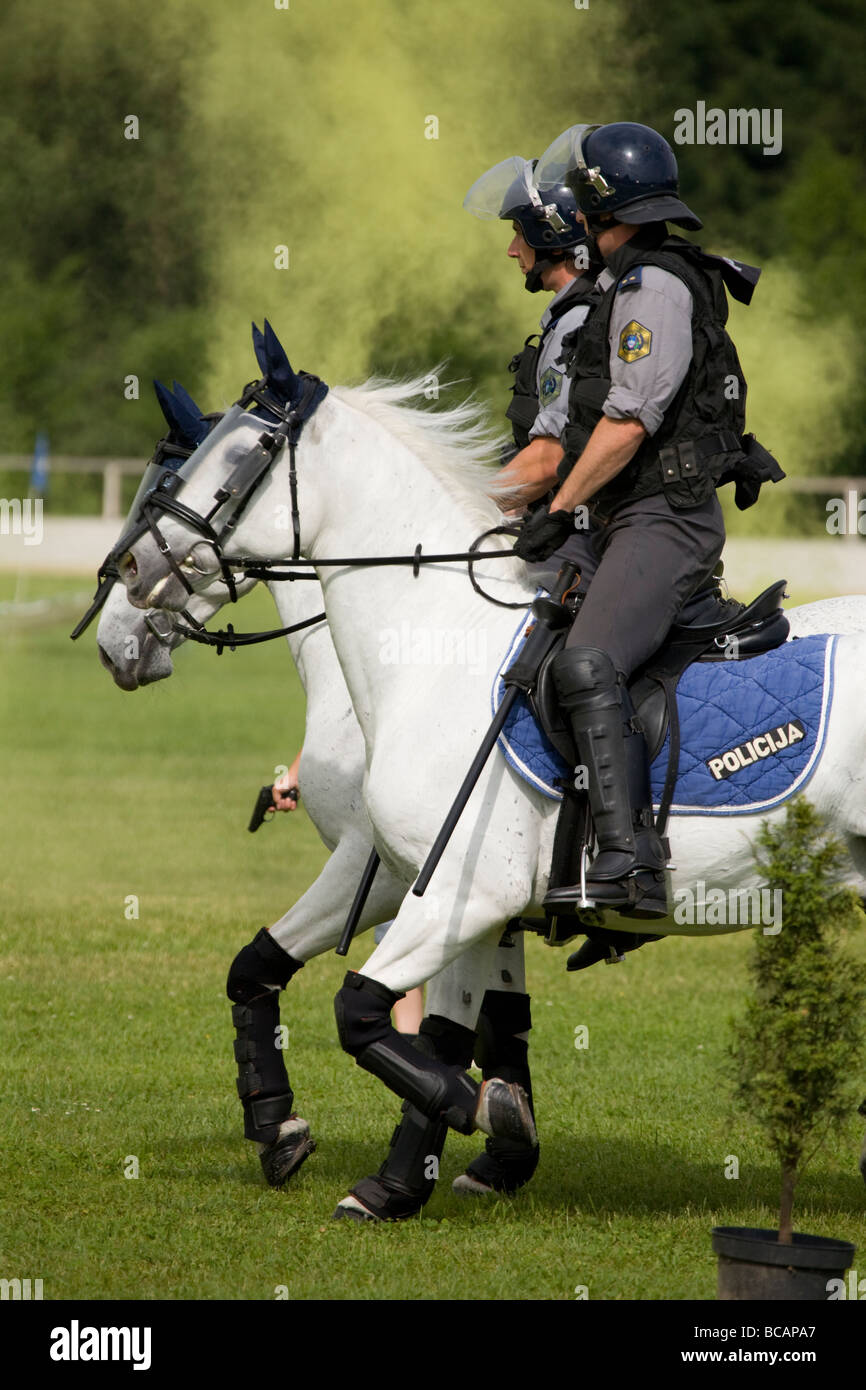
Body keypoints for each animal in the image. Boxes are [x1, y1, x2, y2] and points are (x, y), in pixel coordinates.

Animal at [113, 323, 866, 1192]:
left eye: (243, 456)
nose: (129, 581)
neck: (431, 649)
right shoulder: (421, 882)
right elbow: (310, 983)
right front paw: (323, 1148)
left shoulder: (466, 895)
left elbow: (371, 1015)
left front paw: (477, 1121)